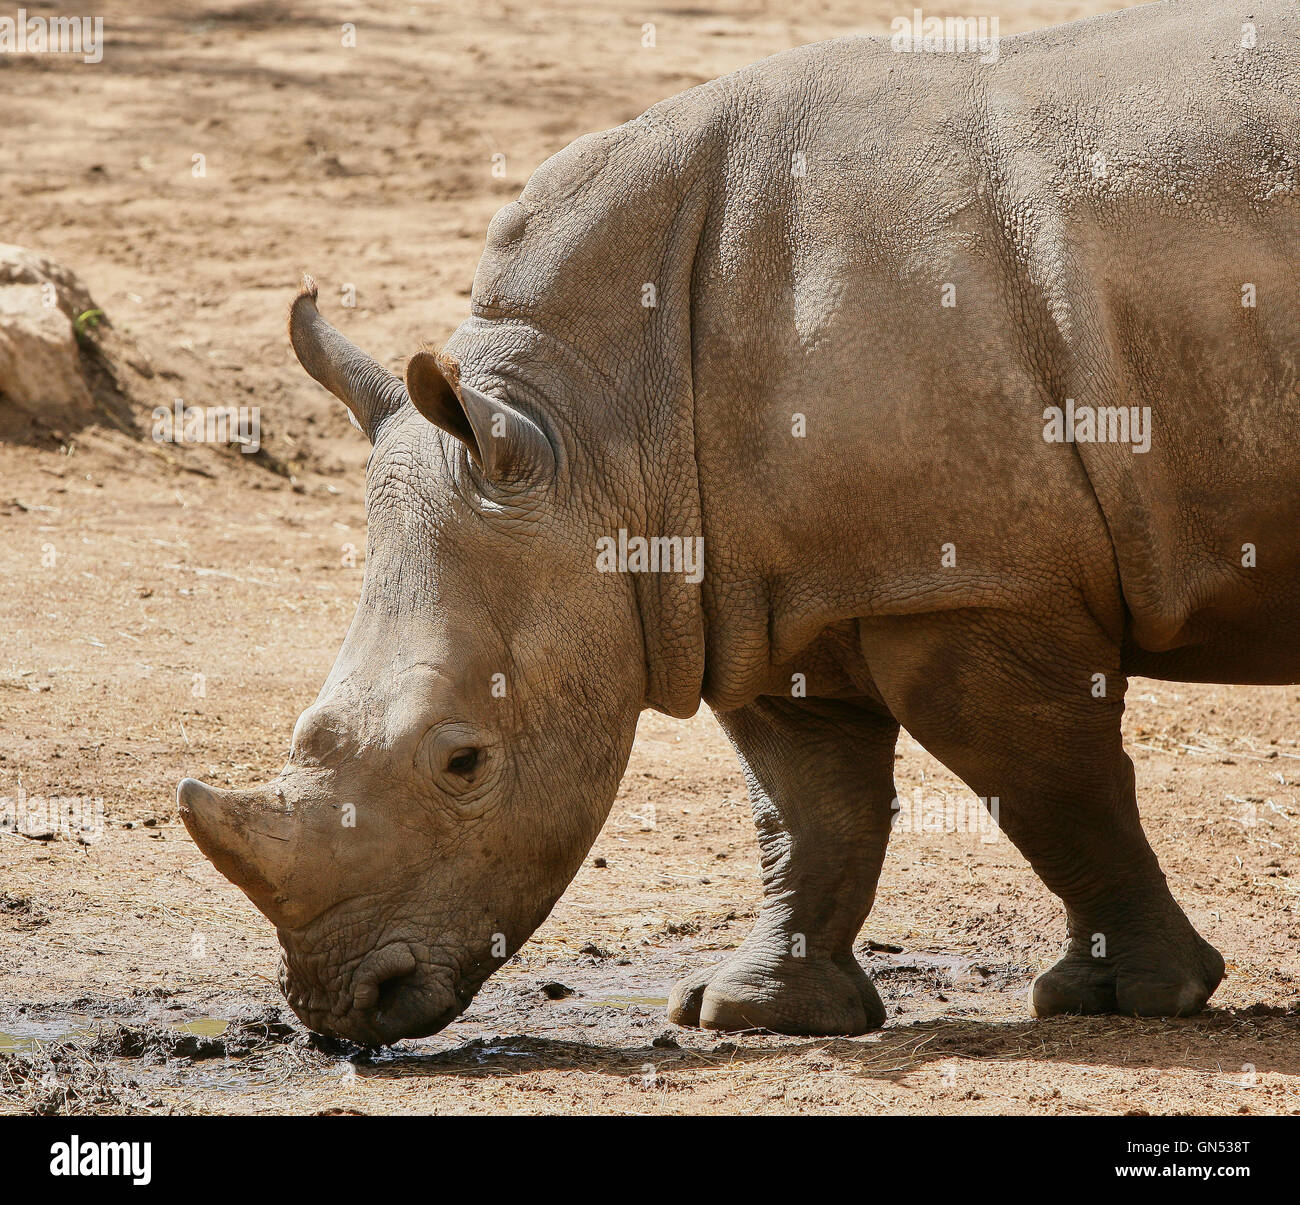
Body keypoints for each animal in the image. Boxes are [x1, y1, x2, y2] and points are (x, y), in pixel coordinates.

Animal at [179, 0, 1300, 1042]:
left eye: (465, 762)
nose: (340, 1004)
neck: (592, 428)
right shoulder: (767, 588)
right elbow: (808, 809)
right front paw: (751, 1010)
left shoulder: (969, 585)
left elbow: (1052, 795)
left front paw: (1130, 1000)